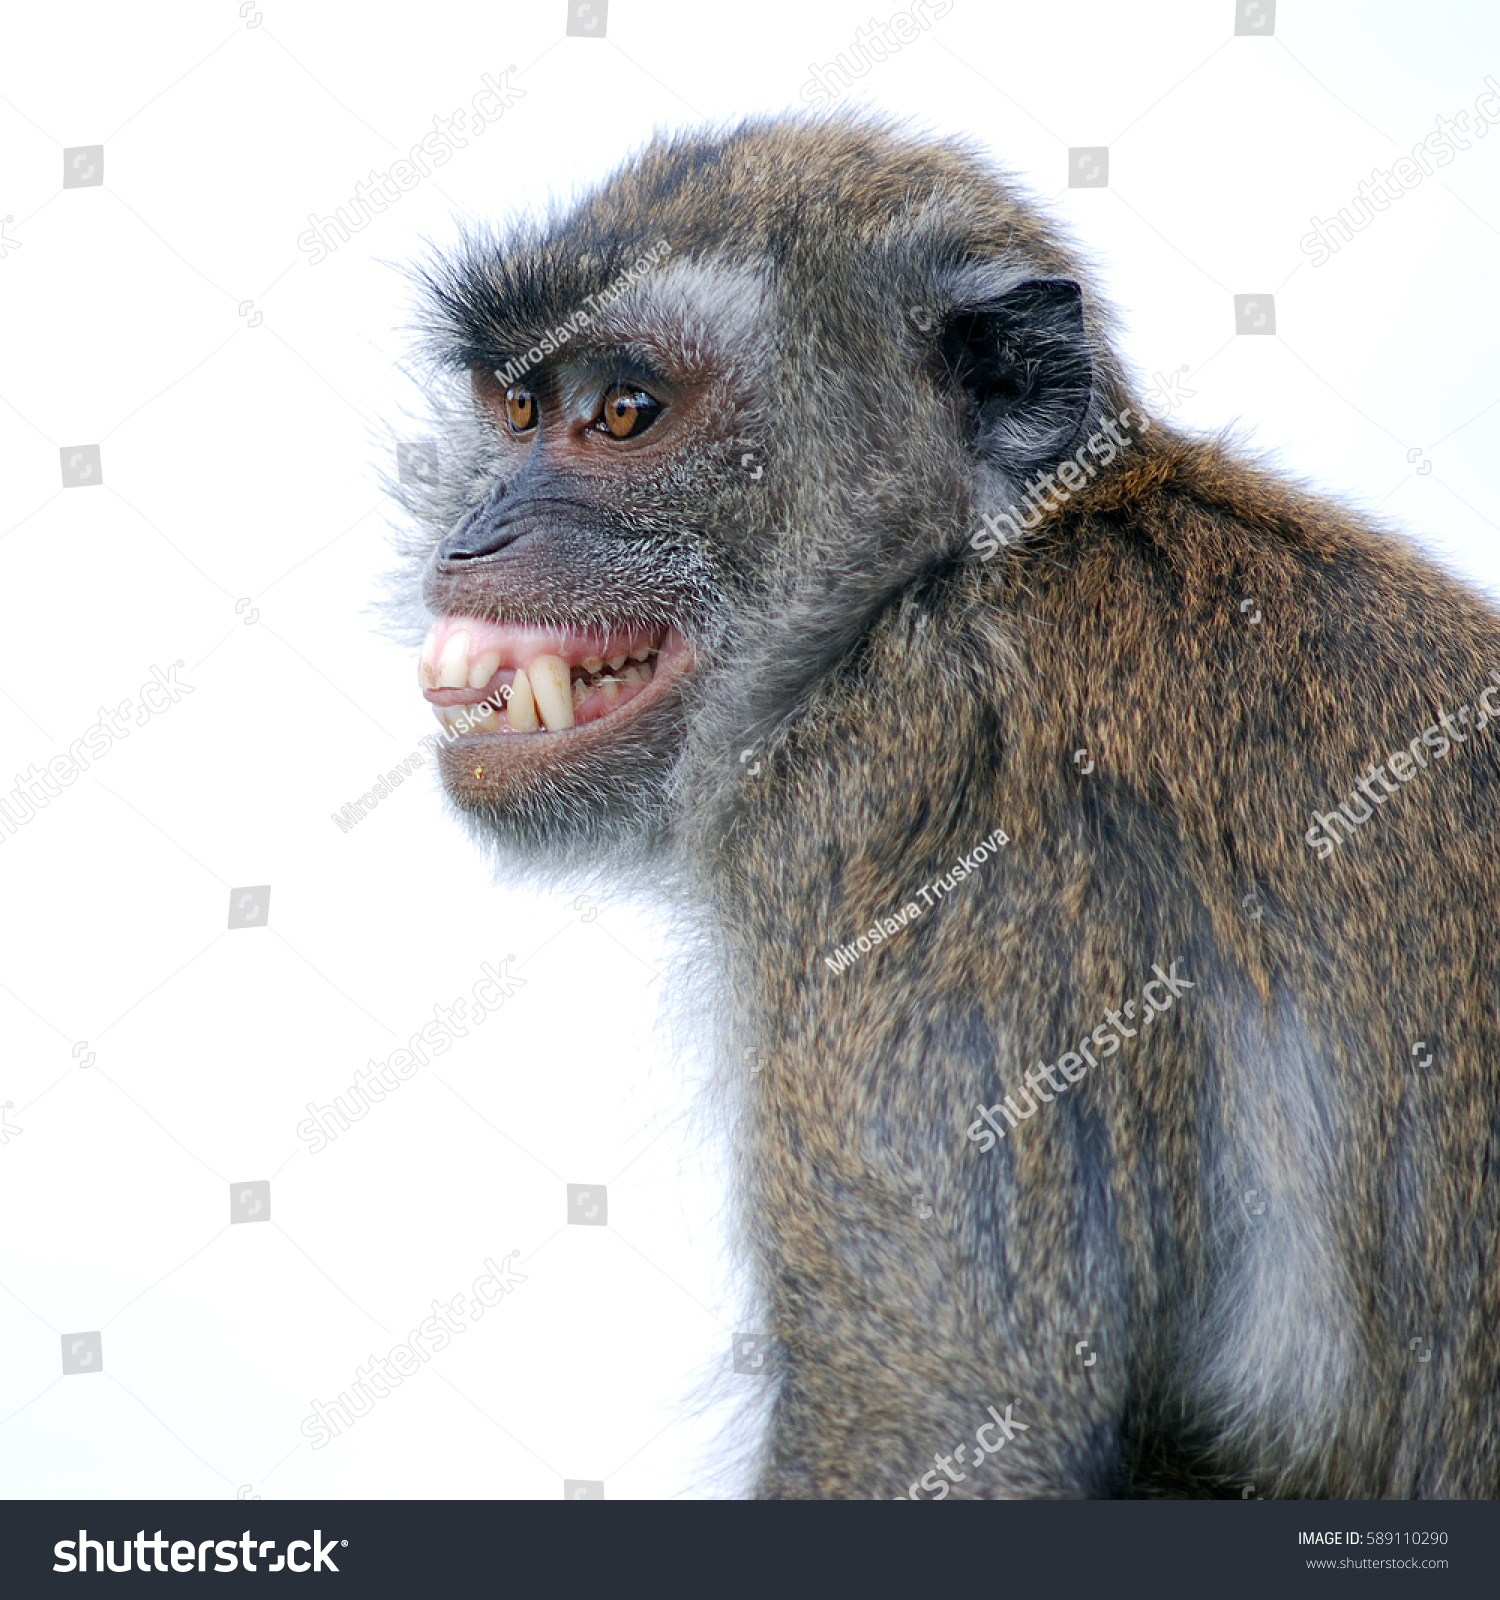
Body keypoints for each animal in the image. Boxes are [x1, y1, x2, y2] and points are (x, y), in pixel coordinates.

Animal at [390, 114, 1500, 1499]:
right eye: (521, 404)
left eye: (628, 411)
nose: (472, 534)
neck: (944, 578)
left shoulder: (908, 828)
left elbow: (952, 1422)